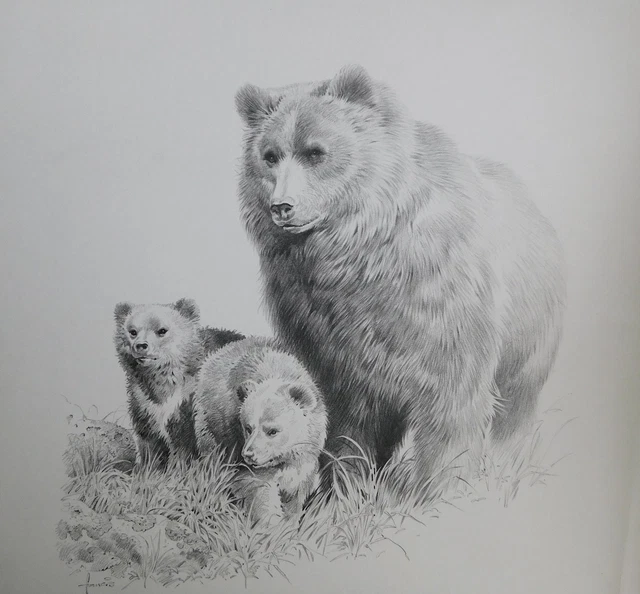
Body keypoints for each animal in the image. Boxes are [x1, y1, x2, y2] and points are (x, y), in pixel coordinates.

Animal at [114, 298, 244, 469]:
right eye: (133, 331)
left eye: (162, 330)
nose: (141, 346)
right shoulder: (143, 403)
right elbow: (149, 442)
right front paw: (148, 468)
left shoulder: (188, 404)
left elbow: (184, 444)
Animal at [193, 337, 327, 524]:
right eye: (248, 427)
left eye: (272, 431)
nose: (249, 454)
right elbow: (258, 488)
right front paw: (271, 524)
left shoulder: (304, 456)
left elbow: (295, 491)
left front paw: (290, 521)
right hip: (210, 427)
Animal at [233, 64, 566, 493]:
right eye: (270, 156)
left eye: (315, 152)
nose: (282, 207)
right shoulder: (323, 328)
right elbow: (348, 416)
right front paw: (345, 486)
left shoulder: (442, 313)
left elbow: (451, 405)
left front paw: (438, 489)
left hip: (529, 334)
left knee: (516, 405)